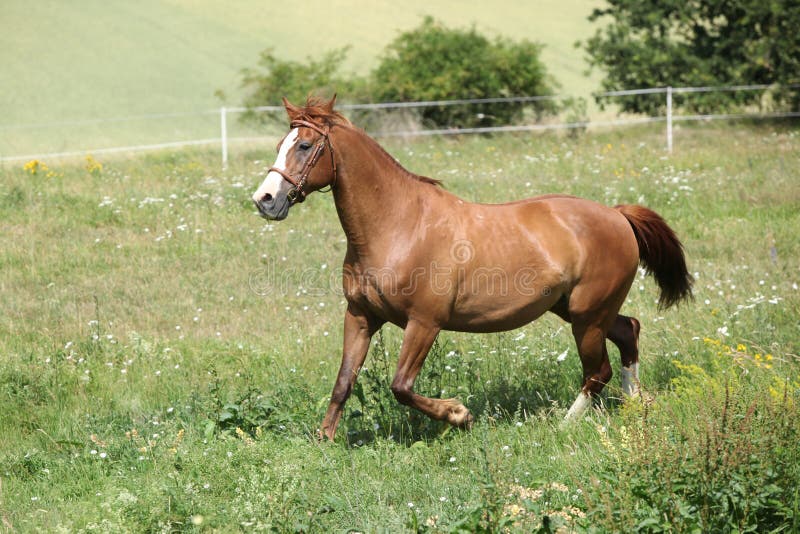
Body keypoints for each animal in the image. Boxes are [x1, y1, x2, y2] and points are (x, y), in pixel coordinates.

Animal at [252, 96, 693, 441]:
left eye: (305, 145)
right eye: (279, 144)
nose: (265, 200)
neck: (400, 225)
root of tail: (618, 215)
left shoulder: (424, 323)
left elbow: (401, 386)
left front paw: (460, 415)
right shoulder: (360, 316)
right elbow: (344, 382)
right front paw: (325, 440)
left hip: (587, 316)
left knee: (598, 370)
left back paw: (565, 425)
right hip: (576, 309)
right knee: (629, 331)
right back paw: (637, 404)